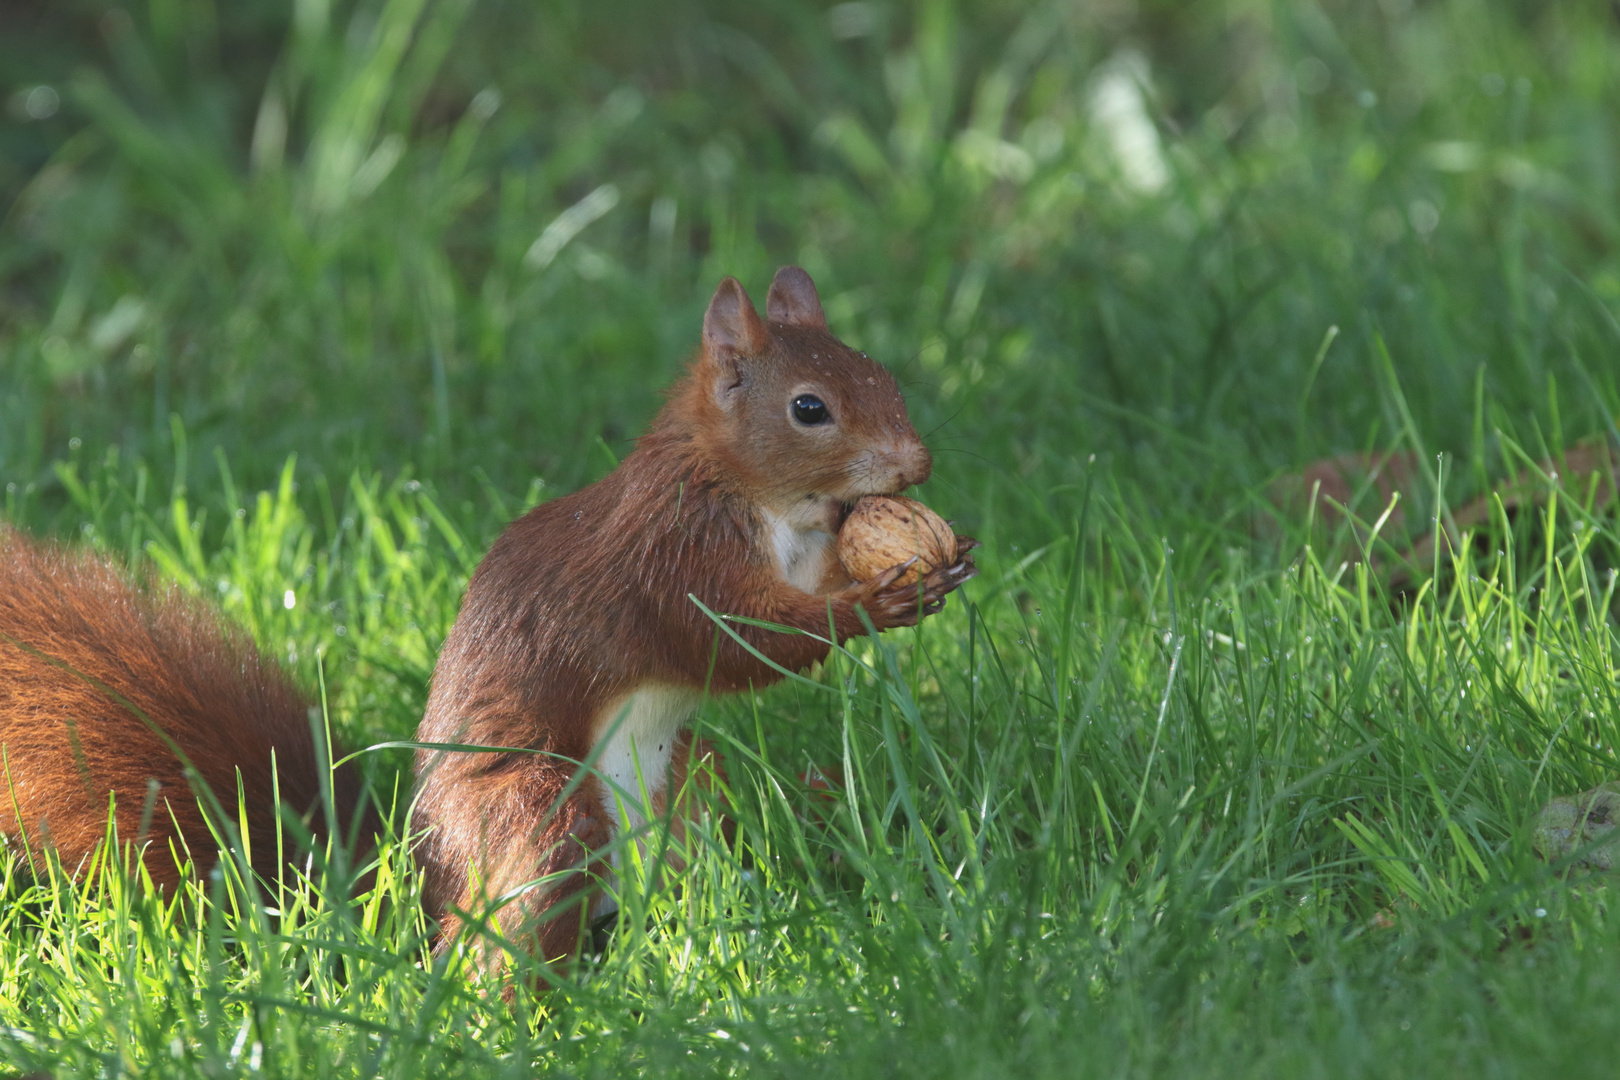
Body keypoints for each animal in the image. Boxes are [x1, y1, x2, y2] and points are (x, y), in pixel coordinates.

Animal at [0, 267, 977, 970]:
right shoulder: (671, 561)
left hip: (689, 786)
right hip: (537, 812)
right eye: (810, 408)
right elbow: (742, 641)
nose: (920, 463)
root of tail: (415, 886)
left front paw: (940, 558)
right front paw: (878, 601)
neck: (763, 501)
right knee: (504, 933)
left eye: (884, 374)